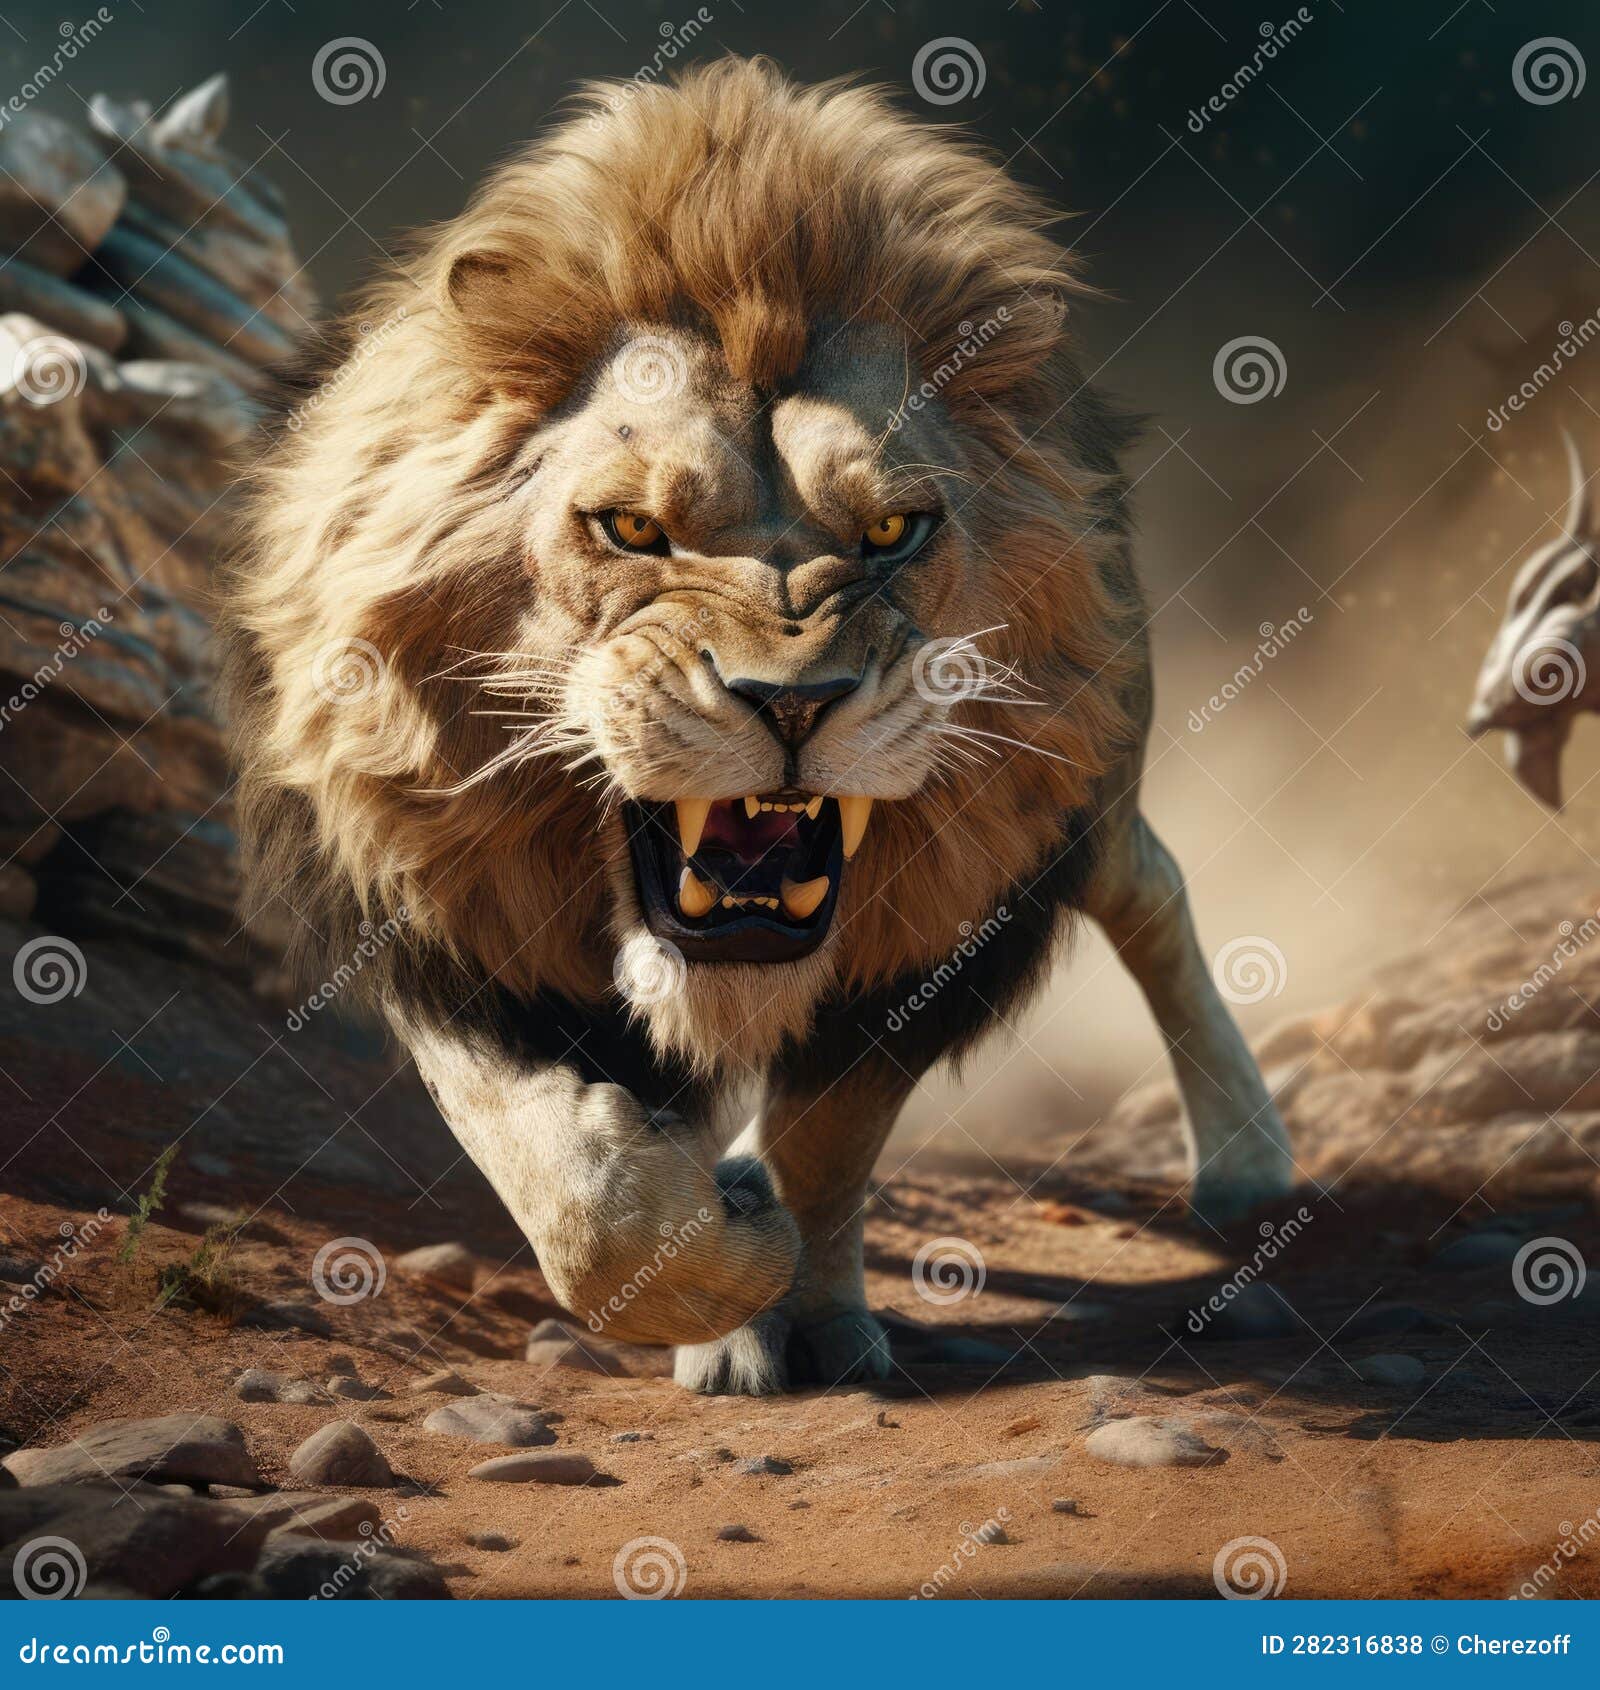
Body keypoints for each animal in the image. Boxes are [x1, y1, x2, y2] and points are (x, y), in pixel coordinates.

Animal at [222, 56, 1292, 1395]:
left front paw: (790, 1288)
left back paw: (1247, 1165)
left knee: (1144, 877)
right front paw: (717, 1263)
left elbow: (827, 1143)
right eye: (633, 529)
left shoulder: (934, 929)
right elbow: (575, 1194)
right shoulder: (428, 903)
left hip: (1072, 785)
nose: (790, 700)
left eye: (891, 532)